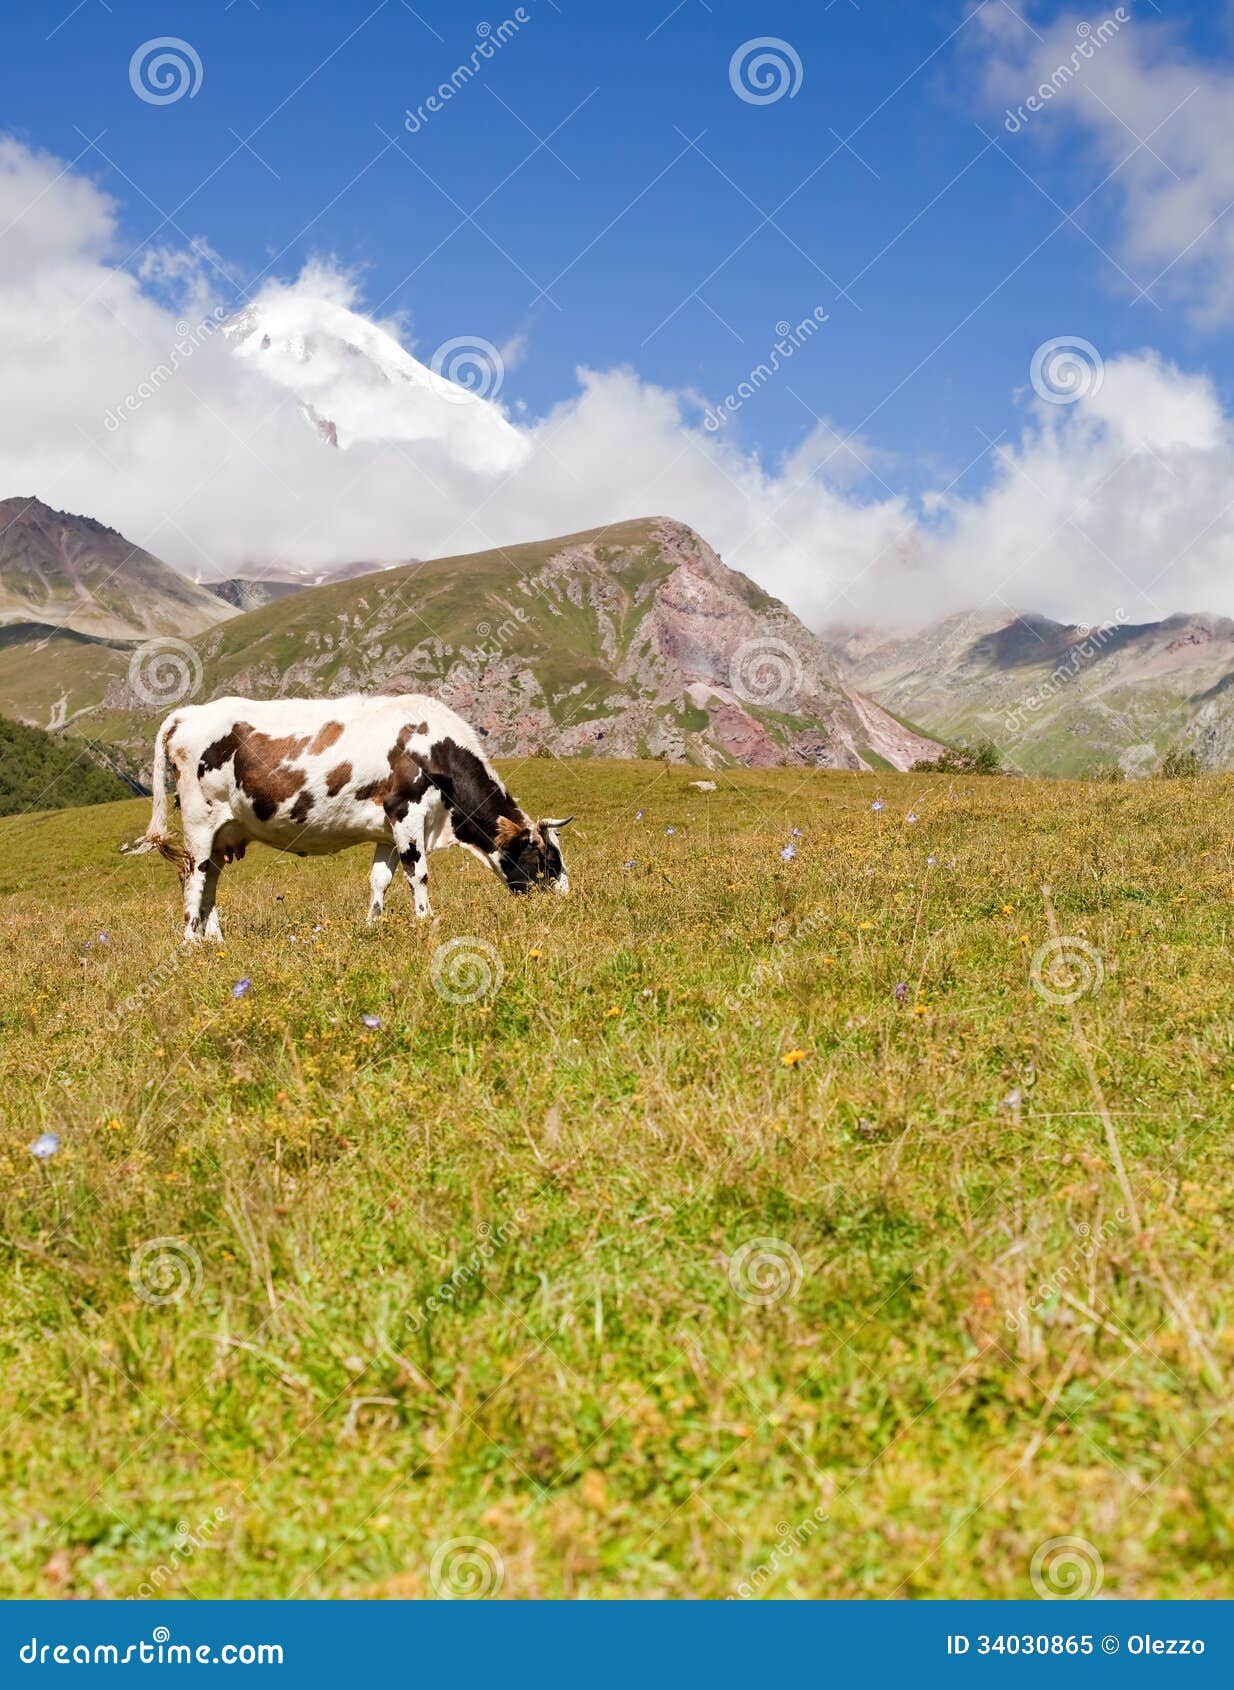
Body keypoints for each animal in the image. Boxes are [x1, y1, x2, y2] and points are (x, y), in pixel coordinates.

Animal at [122, 695, 572, 941]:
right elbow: (419, 874)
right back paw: (190, 941)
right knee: (192, 875)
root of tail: (187, 714)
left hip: (224, 830)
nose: (567, 898)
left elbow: (381, 879)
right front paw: (425, 920)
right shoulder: (406, 812)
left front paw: (374, 924)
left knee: (210, 878)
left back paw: (215, 938)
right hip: (200, 820)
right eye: (545, 858)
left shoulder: (387, 831)